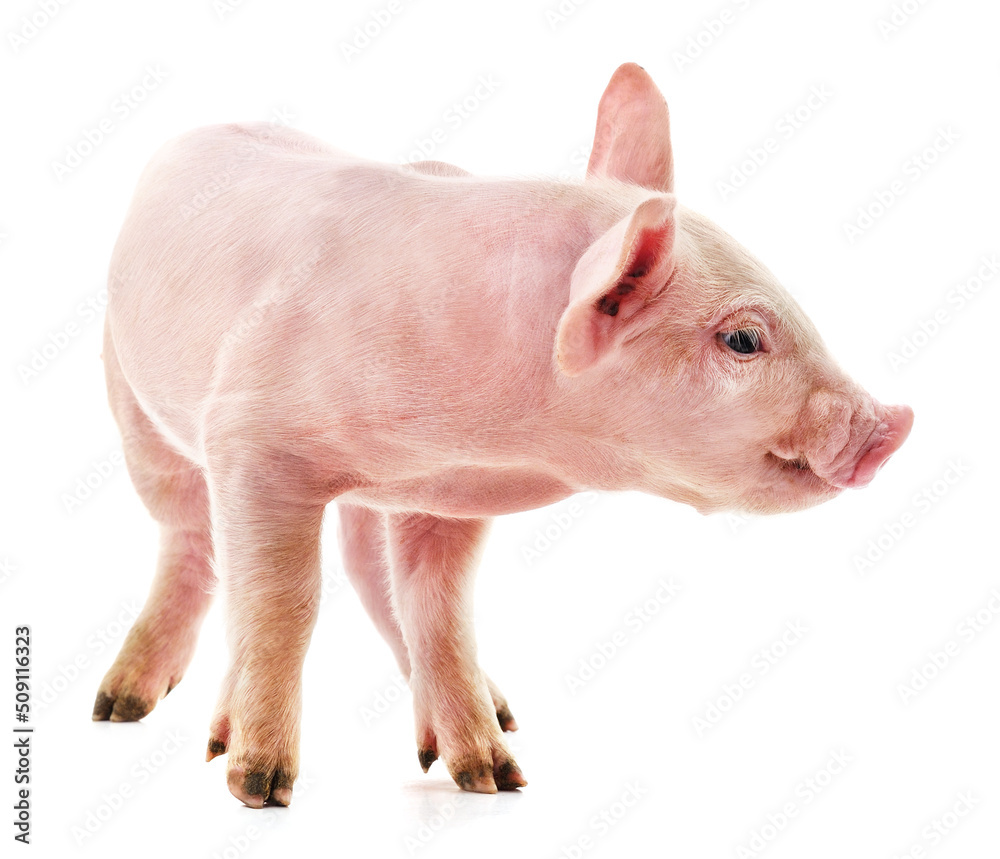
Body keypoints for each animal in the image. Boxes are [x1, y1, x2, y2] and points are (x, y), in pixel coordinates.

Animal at [93, 62, 913, 807]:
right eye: (742, 339)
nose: (893, 424)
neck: (487, 440)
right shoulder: (250, 440)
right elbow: (284, 603)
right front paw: (260, 788)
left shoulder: (442, 492)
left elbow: (440, 612)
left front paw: (496, 780)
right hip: (128, 393)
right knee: (190, 533)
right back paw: (125, 707)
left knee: (364, 569)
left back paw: (496, 719)